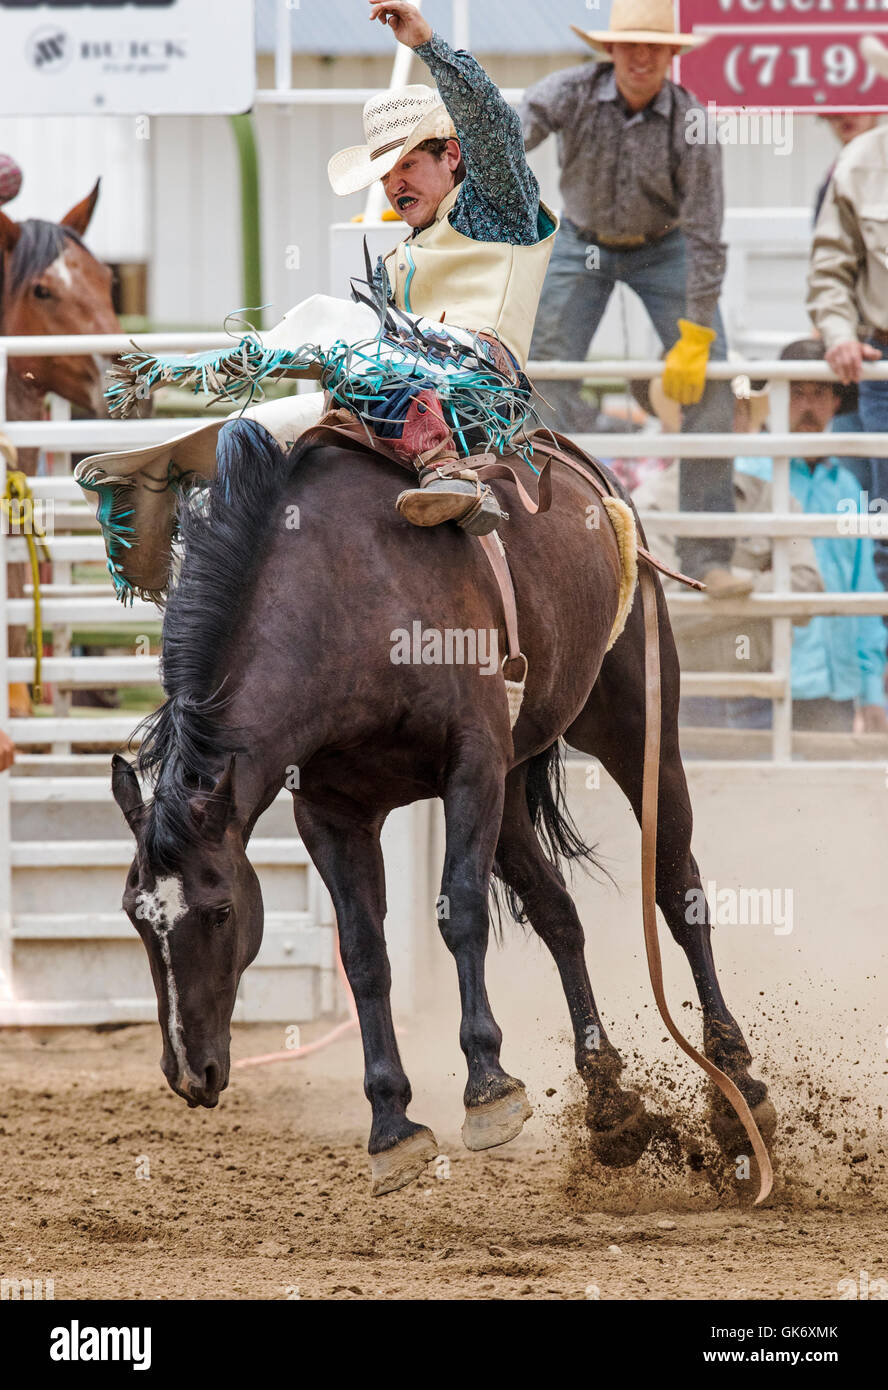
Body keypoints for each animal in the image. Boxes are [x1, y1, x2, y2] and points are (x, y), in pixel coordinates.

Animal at [111, 417, 776, 1198]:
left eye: (218, 912)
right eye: (135, 918)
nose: (192, 1074)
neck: (343, 600)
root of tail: (565, 455)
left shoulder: (471, 765)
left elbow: (459, 913)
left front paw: (488, 1087)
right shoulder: (332, 813)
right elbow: (364, 954)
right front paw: (391, 1125)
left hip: (634, 721)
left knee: (677, 887)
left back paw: (736, 1084)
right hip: (512, 789)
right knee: (558, 913)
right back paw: (610, 1101)